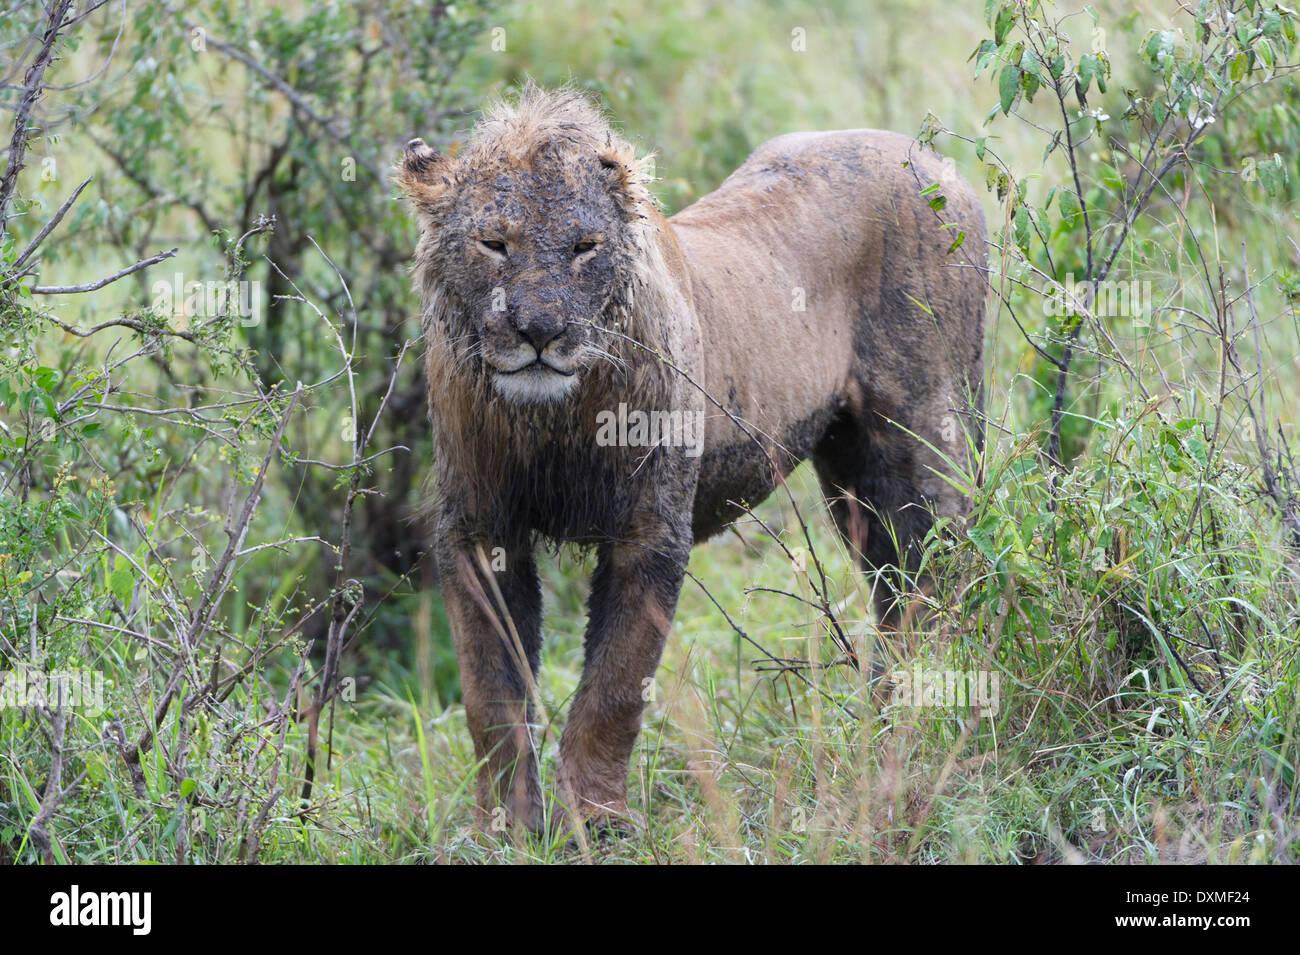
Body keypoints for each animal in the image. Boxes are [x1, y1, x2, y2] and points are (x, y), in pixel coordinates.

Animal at [396, 83, 986, 835]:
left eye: (585, 247)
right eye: (495, 243)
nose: (540, 331)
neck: (553, 420)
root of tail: (936, 162)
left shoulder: (651, 529)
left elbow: (615, 688)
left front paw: (599, 820)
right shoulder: (478, 531)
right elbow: (492, 695)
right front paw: (506, 826)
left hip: (922, 438)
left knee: (936, 578)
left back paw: (914, 718)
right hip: (851, 475)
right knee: (895, 590)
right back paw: (883, 717)